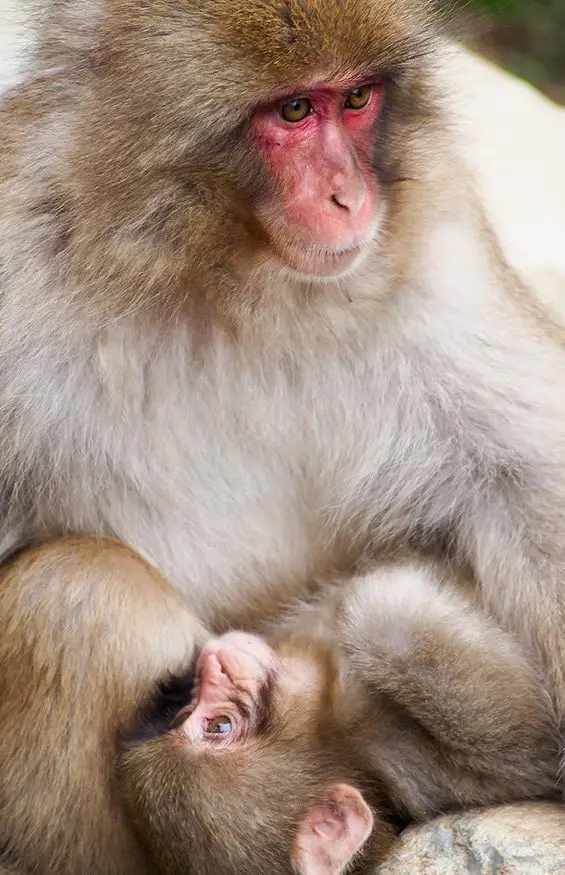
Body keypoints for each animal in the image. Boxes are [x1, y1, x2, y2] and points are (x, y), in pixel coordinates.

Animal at [2, 0, 565, 770]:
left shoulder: (437, 244)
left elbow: (526, 491)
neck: (223, 278)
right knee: (76, 595)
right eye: (295, 109)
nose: (350, 197)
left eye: (357, 99)